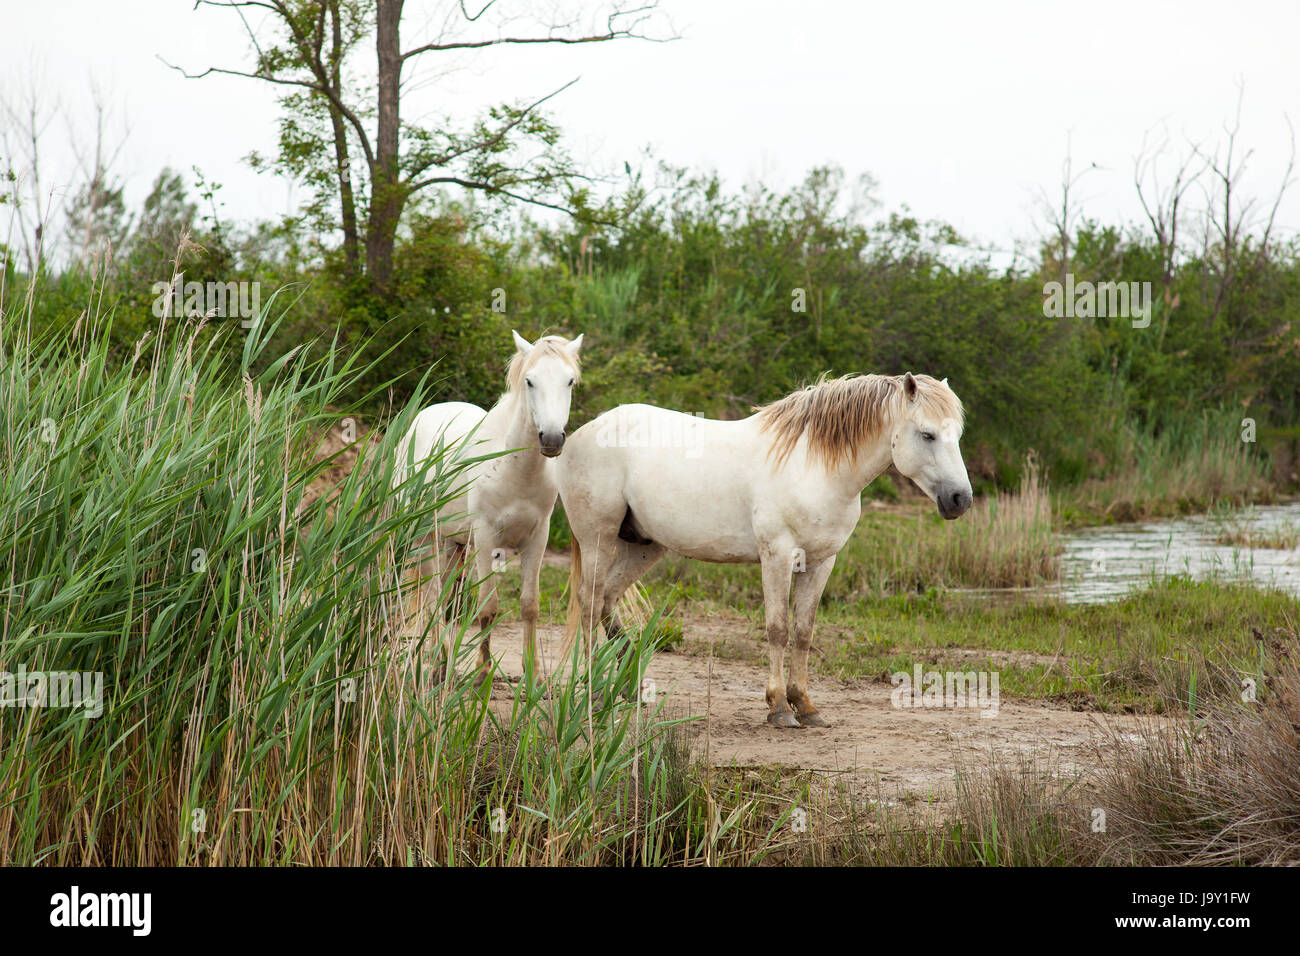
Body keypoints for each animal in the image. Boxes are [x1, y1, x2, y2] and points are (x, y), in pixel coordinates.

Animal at [393, 330, 583, 683]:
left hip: (454, 544)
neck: (513, 469)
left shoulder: (538, 539)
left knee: (446, 598)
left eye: (570, 381)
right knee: (432, 596)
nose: (552, 439)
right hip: (425, 538)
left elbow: (529, 605)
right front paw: (482, 673)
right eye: (530, 381)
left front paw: (533, 674)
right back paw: (438, 664)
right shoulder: (485, 538)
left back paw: (444, 663)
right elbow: (488, 606)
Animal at [557, 371, 971, 727]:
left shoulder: (821, 563)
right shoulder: (778, 556)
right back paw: (593, 688)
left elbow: (803, 632)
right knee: (590, 601)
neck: (815, 467)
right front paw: (779, 708)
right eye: (928, 435)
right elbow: (777, 629)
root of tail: (581, 432)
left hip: (644, 547)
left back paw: (628, 687)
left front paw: (805, 705)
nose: (960, 500)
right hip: (598, 539)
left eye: (958, 435)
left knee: (607, 598)